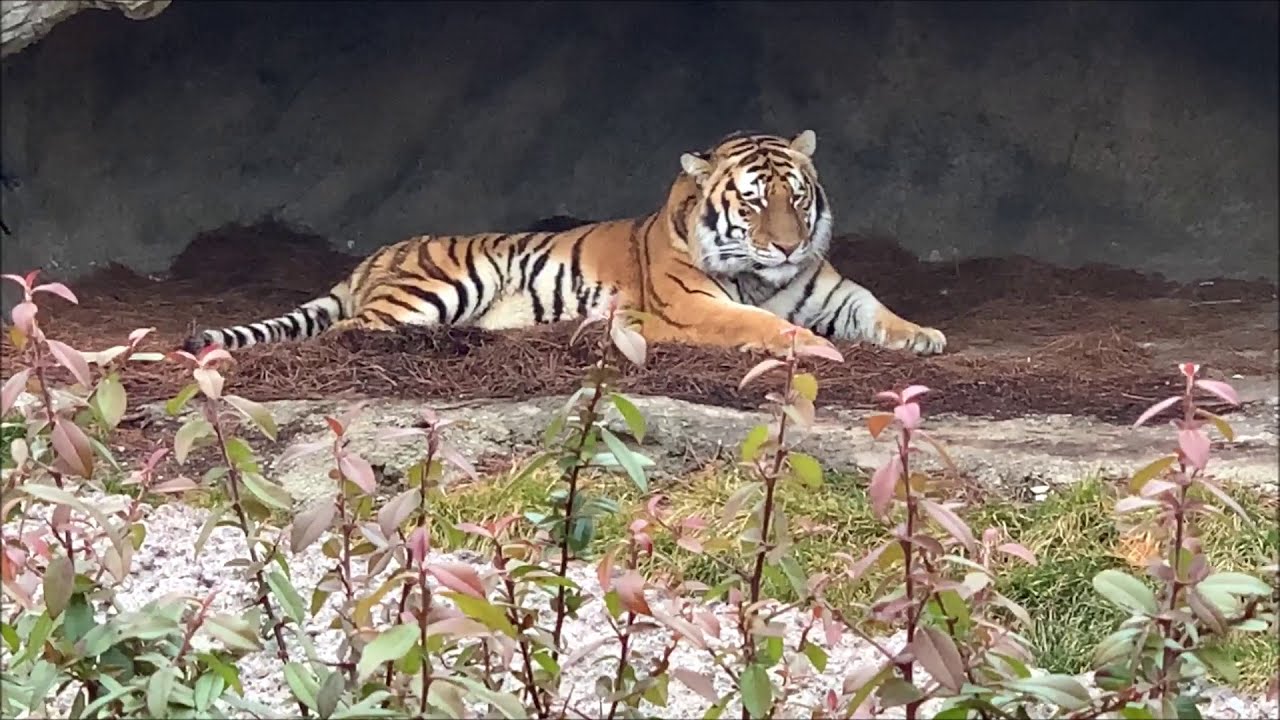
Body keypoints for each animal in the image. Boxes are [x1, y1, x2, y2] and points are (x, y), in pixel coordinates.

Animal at [181, 130, 946, 358]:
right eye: (754, 202)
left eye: (797, 197)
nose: (786, 247)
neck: (769, 276)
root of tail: (374, 255)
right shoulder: (692, 307)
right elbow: (756, 323)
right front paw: (811, 346)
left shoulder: (833, 291)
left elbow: (877, 309)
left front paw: (924, 335)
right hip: (441, 285)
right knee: (348, 330)